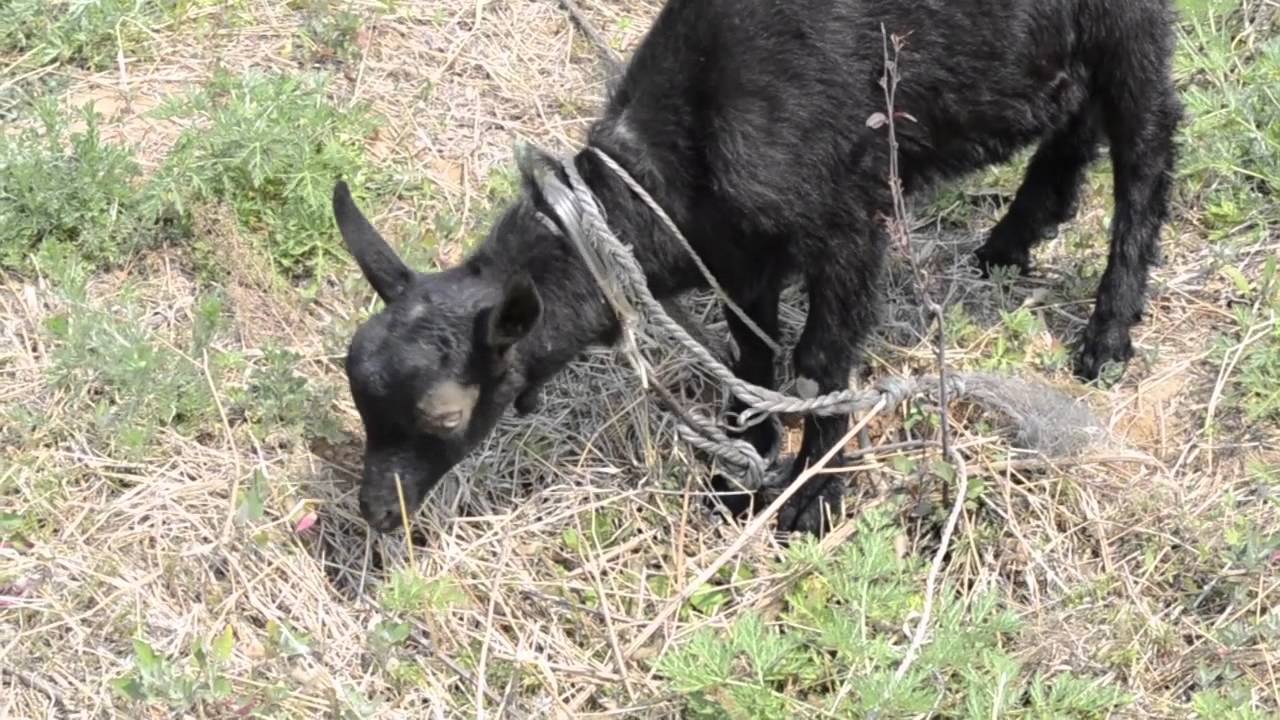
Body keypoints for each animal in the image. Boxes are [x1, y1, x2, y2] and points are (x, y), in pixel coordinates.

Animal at [333, 0, 1181, 535]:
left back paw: (1108, 332)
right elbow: (751, 350)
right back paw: (1012, 242)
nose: (377, 513)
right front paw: (744, 460)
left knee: (1147, 142)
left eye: (445, 416)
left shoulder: (850, 226)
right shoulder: (739, 255)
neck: (678, 158)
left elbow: (822, 358)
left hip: (1130, 27)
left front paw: (815, 496)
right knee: (1072, 113)